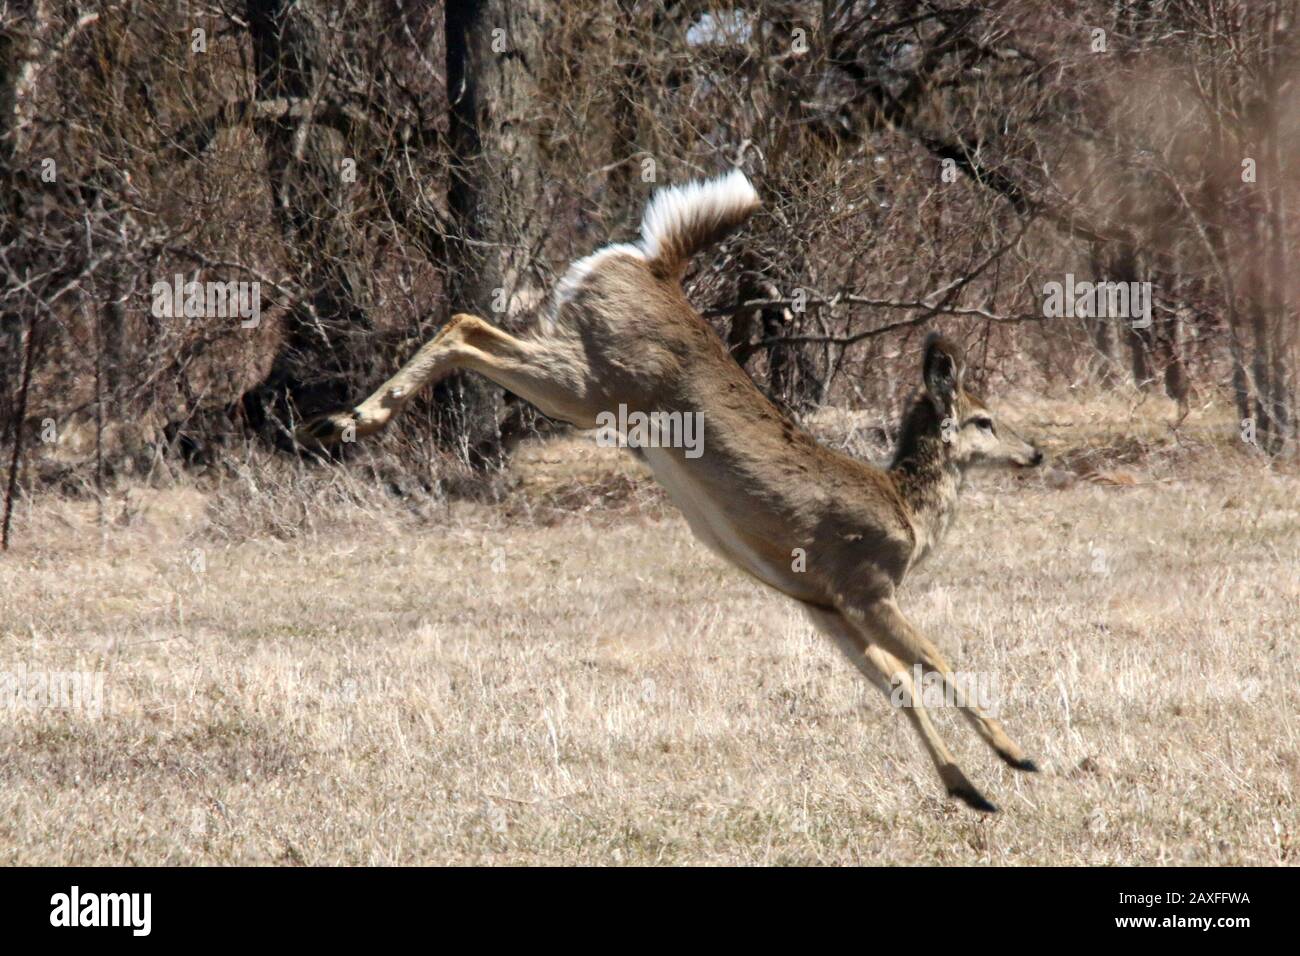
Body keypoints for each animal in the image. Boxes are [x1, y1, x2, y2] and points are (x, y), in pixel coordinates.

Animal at [297, 169, 1046, 812]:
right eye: (983, 418)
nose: (1034, 451)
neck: (906, 510)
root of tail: (654, 266)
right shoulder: (864, 583)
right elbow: (938, 665)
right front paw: (1019, 759)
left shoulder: (820, 603)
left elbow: (897, 685)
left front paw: (970, 791)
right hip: (595, 384)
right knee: (465, 325)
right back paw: (349, 420)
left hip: (581, 365)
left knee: (477, 322)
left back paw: (338, 421)